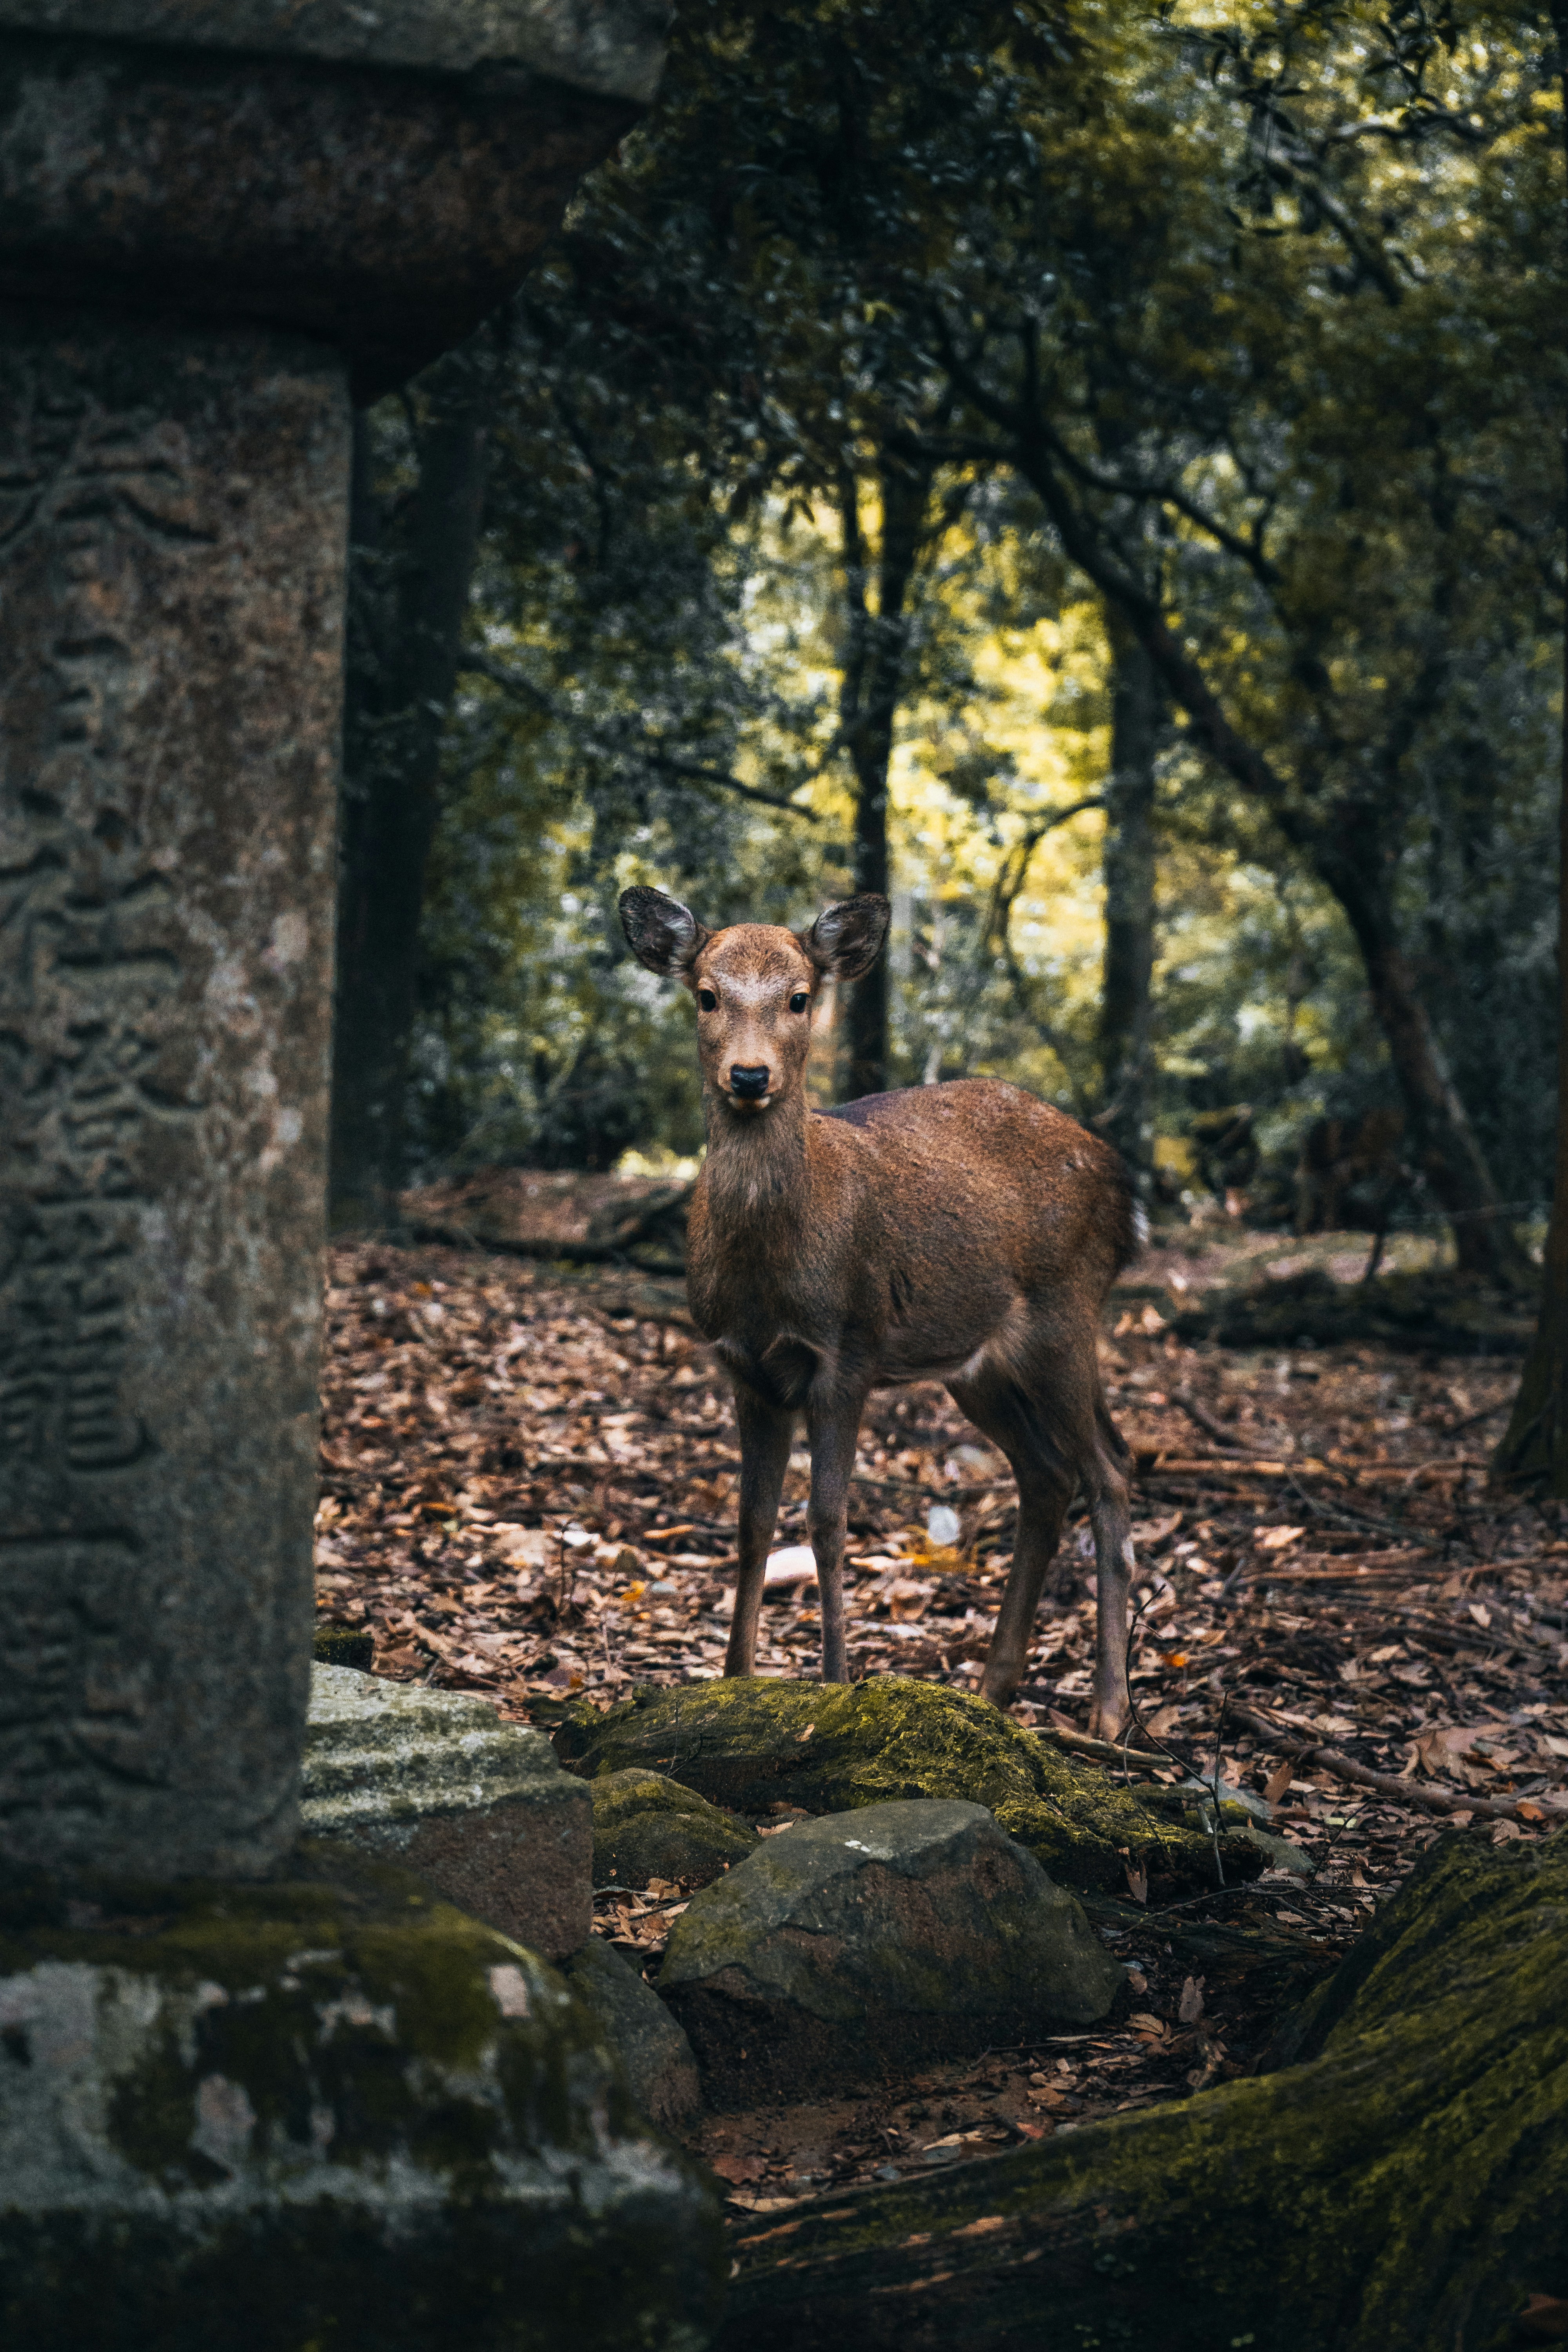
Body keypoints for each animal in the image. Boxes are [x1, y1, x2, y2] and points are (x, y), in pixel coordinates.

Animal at [618, 884, 1146, 1739]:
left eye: (801, 997)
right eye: (705, 994)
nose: (749, 1074)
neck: (771, 1274)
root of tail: (1125, 1189)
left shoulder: (848, 1351)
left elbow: (828, 1522)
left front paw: (835, 1685)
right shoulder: (743, 1366)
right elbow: (751, 1521)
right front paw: (732, 1681)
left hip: (1065, 1312)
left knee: (1111, 1468)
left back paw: (1107, 1709)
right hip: (976, 1365)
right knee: (1048, 1473)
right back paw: (993, 1687)